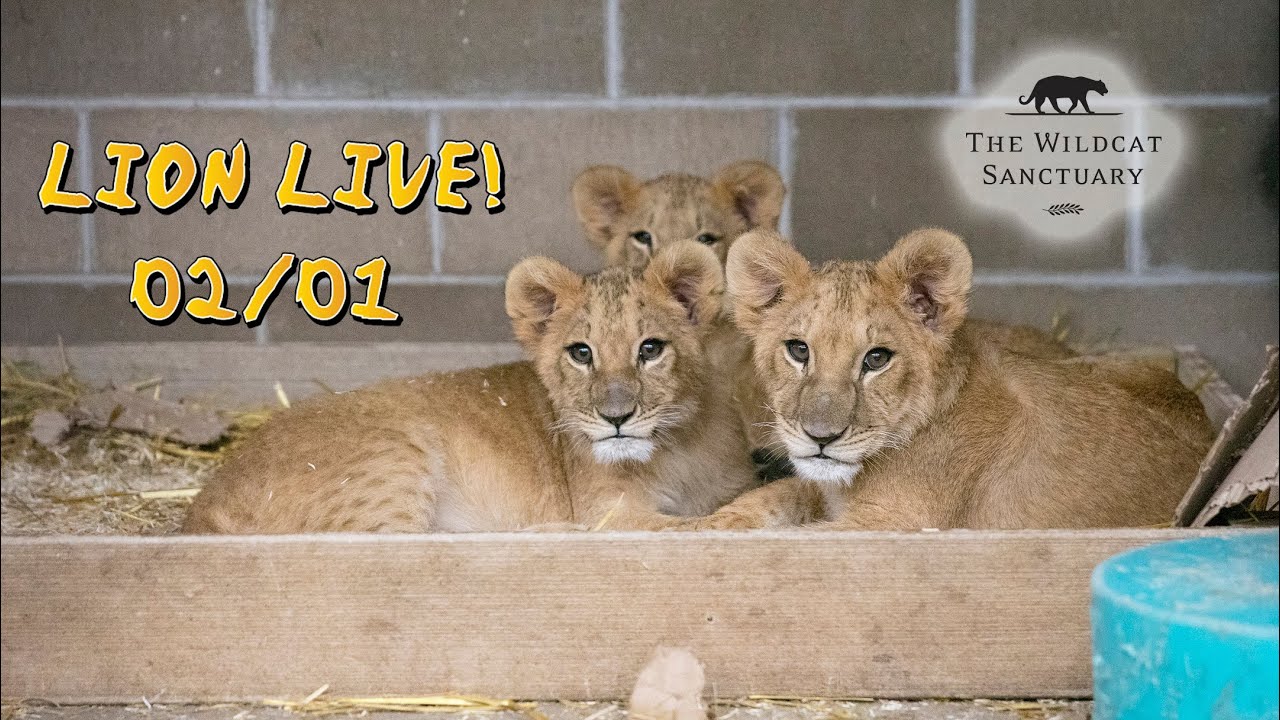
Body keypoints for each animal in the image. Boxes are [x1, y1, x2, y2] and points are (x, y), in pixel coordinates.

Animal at [183, 241, 758, 534]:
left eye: (650, 349)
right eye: (581, 354)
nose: (616, 418)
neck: (678, 447)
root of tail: (206, 499)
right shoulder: (613, 518)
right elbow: (709, 523)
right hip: (394, 459)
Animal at [681, 229, 1214, 530]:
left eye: (876, 359)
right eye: (798, 350)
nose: (820, 438)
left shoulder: (895, 524)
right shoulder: (820, 488)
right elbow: (759, 504)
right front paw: (688, 528)